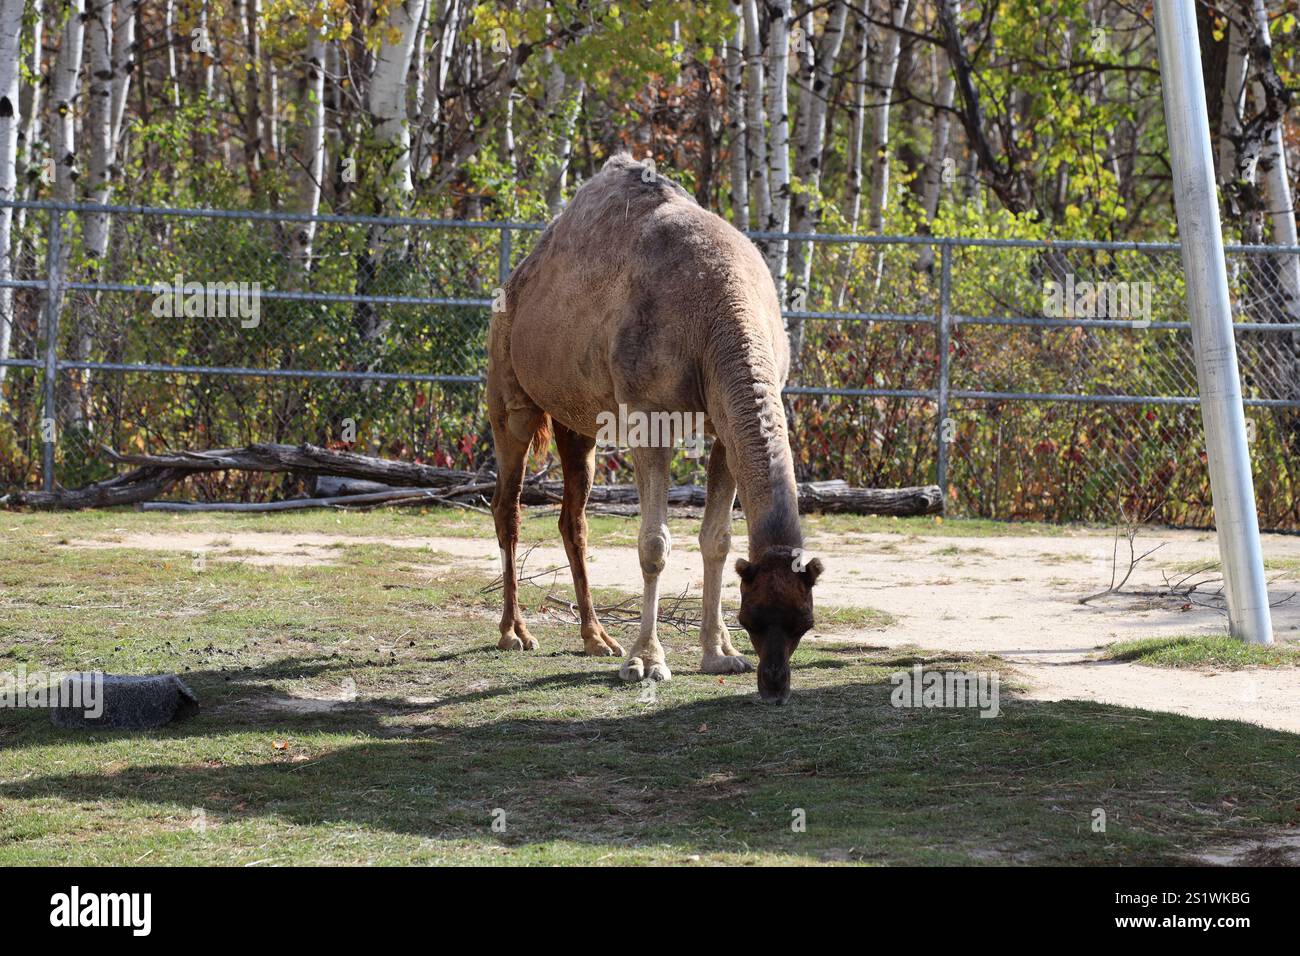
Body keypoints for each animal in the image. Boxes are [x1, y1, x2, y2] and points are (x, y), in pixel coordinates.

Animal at [487, 153, 823, 704]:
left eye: (804, 622)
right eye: (753, 619)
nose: (775, 687)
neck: (718, 314)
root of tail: (520, 276)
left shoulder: (723, 423)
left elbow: (717, 539)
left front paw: (718, 654)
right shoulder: (649, 415)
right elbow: (654, 544)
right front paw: (646, 661)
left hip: (576, 422)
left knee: (573, 517)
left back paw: (597, 638)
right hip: (508, 394)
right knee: (507, 506)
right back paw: (515, 633)